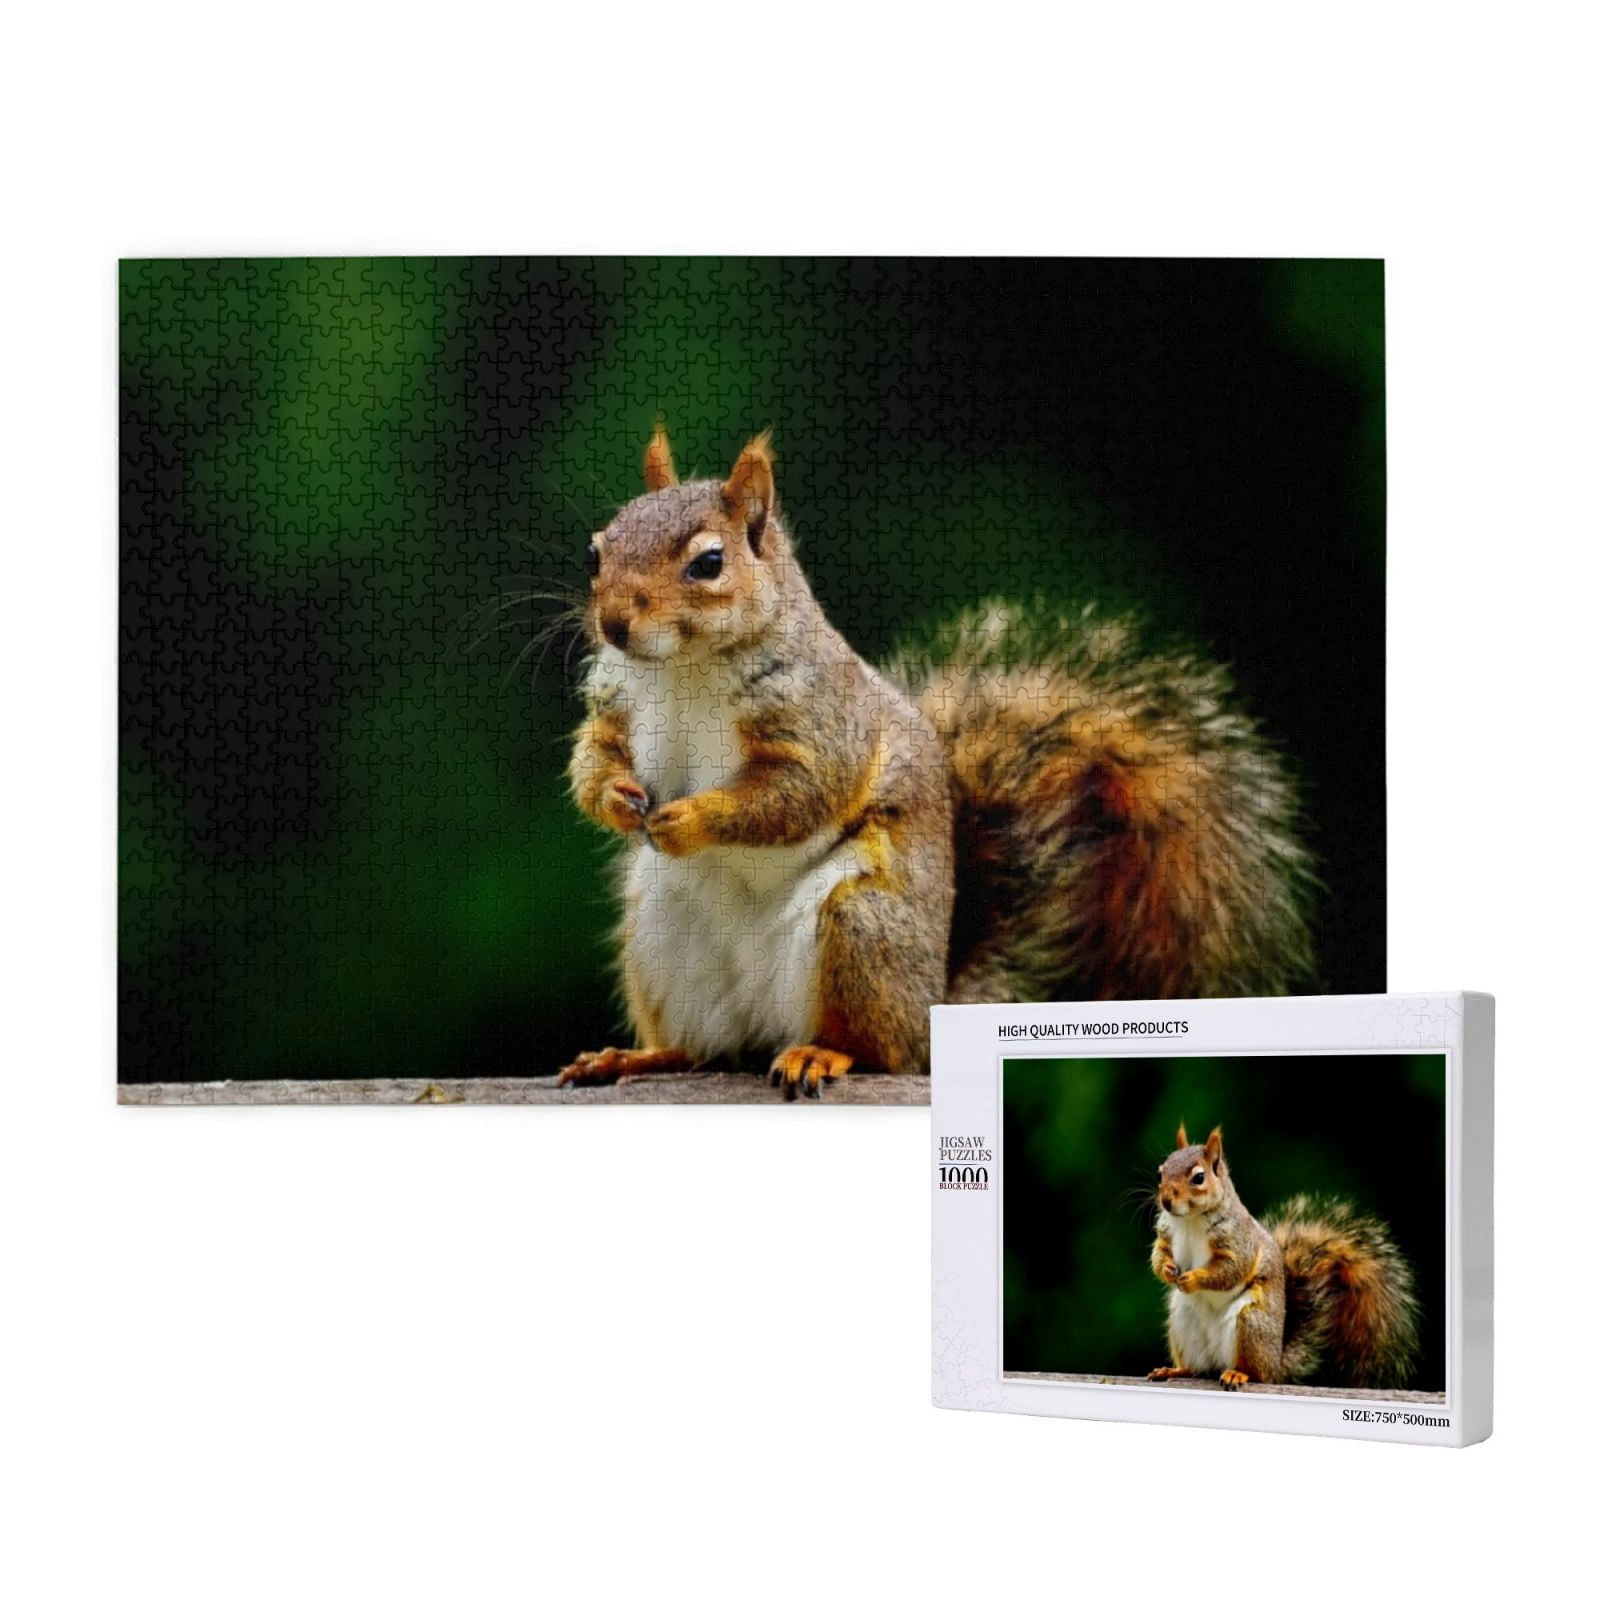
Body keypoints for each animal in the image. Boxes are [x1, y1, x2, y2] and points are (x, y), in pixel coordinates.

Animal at [557, 428, 1315, 1097]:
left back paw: (821, 1054)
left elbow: (798, 794)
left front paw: (691, 817)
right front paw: (618, 799)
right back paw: (633, 1057)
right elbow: (595, 757)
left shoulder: (826, 723)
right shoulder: (619, 706)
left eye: (709, 564)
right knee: (704, 1047)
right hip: (660, 934)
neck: (685, 668)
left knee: (878, 1048)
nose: (614, 625)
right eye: (595, 552)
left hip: (863, 927)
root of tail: (933, 1014)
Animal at [1149, 1124, 1420, 1390]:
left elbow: (1231, 1270)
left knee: (1257, 1373)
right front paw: (1167, 1270)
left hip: (1251, 1323)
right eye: (1160, 1173)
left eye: (1199, 1178)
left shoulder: (1239, 1242)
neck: (1190, 1220)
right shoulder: (1166, 1234)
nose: (1166, 1201)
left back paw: (1238, 1373)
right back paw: (1174, 1370)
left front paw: (1192, 1278)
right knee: (1198, 1368)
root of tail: (1276, 1363)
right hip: (1183, 1322)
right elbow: (1159, 1254)